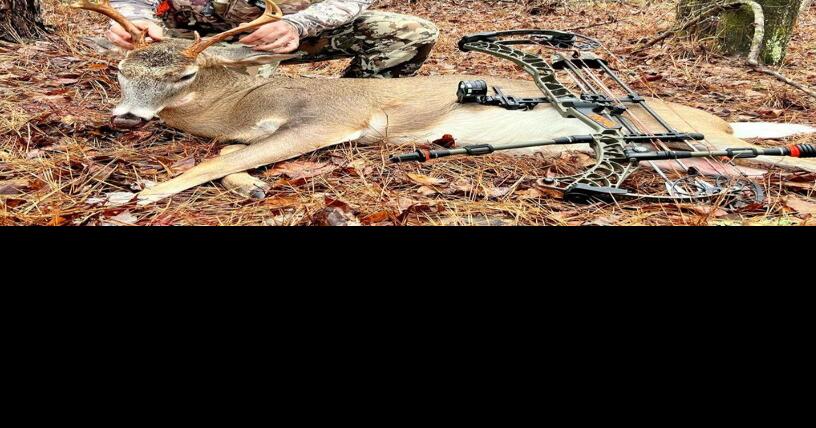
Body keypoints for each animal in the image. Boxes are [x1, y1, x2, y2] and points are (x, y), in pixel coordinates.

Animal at [70, 0, 816, 205]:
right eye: (119, 70)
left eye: (179, 76)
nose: (125, 117)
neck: (245, 100)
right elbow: (228, 155)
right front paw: (252, 183)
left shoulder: (334, 120)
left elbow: (207, 163)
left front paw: (127, 196)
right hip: (697, 158)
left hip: (699, 140)